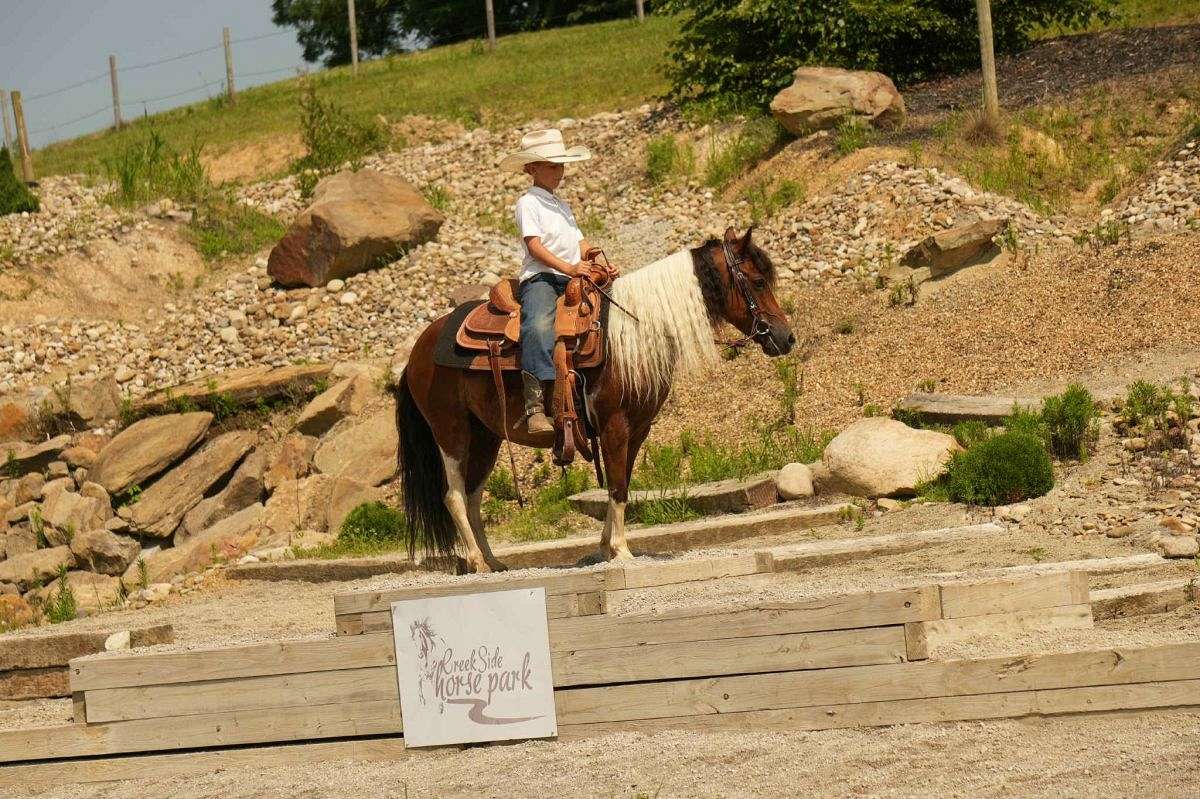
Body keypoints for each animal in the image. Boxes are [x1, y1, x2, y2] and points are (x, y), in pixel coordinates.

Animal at [394, 227, 795, 573]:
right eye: (758, 282)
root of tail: (418, 351)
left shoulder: (638, 429)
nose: (786, 337)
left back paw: (494, 562)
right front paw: (621, 551)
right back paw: (476, 560)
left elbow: (623, 484)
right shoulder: (614, 425)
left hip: (486, 437)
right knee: (454, 496)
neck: (634, 331)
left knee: (473, 496)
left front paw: (606, 548)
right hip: (451, 431)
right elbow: (616, 485)